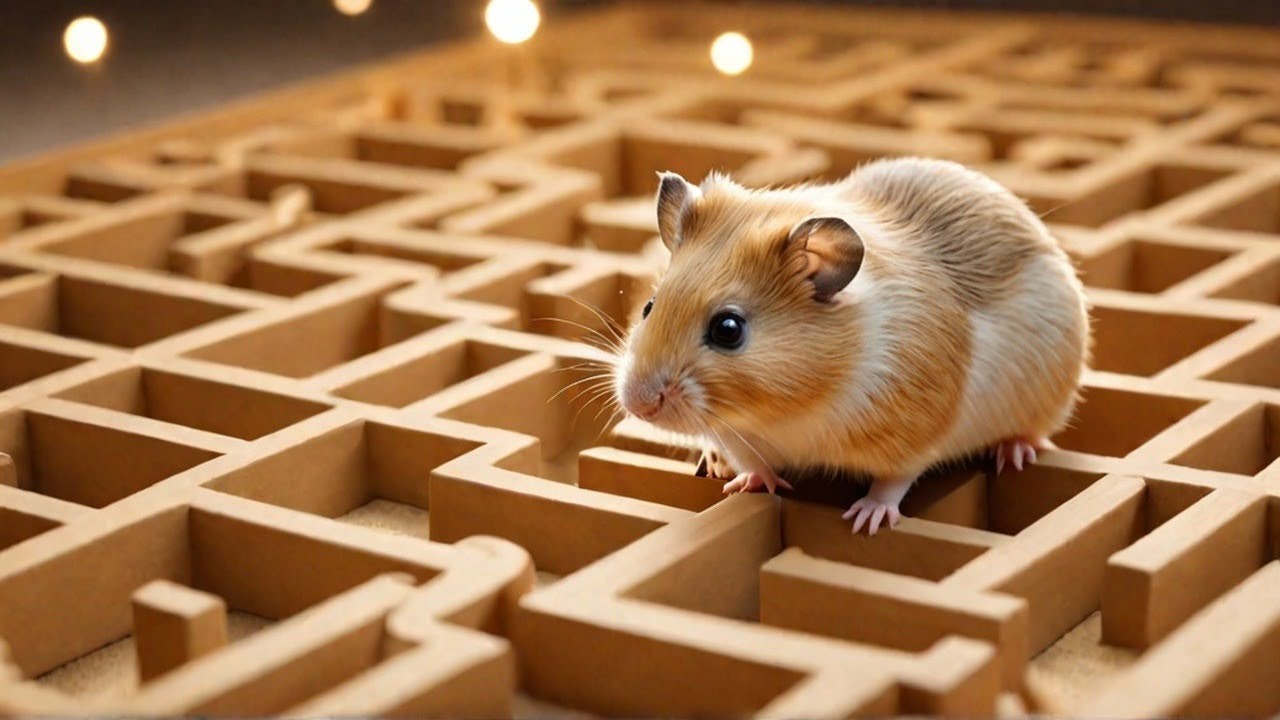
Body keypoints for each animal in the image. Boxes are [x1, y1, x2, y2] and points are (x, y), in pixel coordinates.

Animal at [614, 157, 1089, 535]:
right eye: (649, 307)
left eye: (728, 329)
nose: (638, 404)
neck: (794, 405)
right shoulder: (739, 435)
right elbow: (753, 462)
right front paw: (748, 485)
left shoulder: (914, 433)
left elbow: (894, 481)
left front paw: (865, 519)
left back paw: (1014, 453)